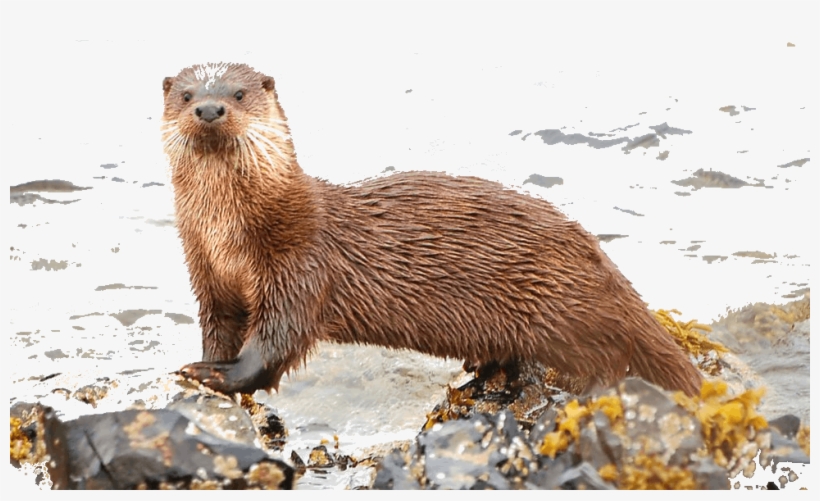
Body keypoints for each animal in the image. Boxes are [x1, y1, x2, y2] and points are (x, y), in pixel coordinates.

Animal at [162, 63, 703, 397]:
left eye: (238, 93)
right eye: (187, 95)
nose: (208, 109)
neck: (227, 235)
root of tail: (597, 256)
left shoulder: (298, 266)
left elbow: (274, 344)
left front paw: (215, 375)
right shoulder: (208, 277)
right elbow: (218, 329)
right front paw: (203, 364)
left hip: (563, 309)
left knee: (611, 353)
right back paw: (484, 372)